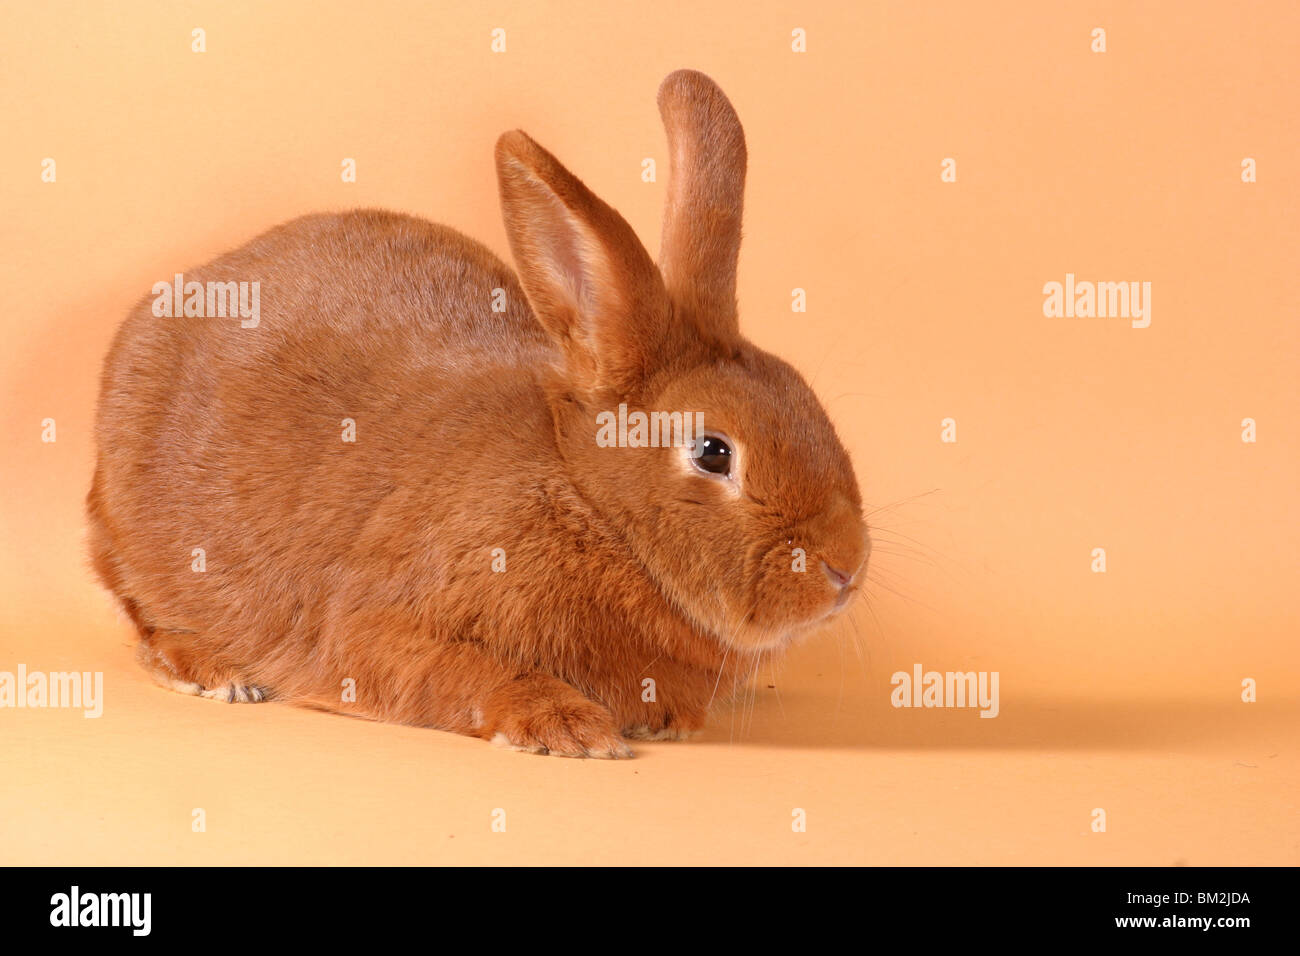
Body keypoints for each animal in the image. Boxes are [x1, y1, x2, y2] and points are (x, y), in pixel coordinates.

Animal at [86, 69, 870, 758]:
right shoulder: (381, 628)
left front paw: (664, 720)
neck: (588, 504)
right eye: (714, 451)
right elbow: (467, 673)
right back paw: (217, 674)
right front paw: (570, 729)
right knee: (144, 619)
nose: (845, 567)